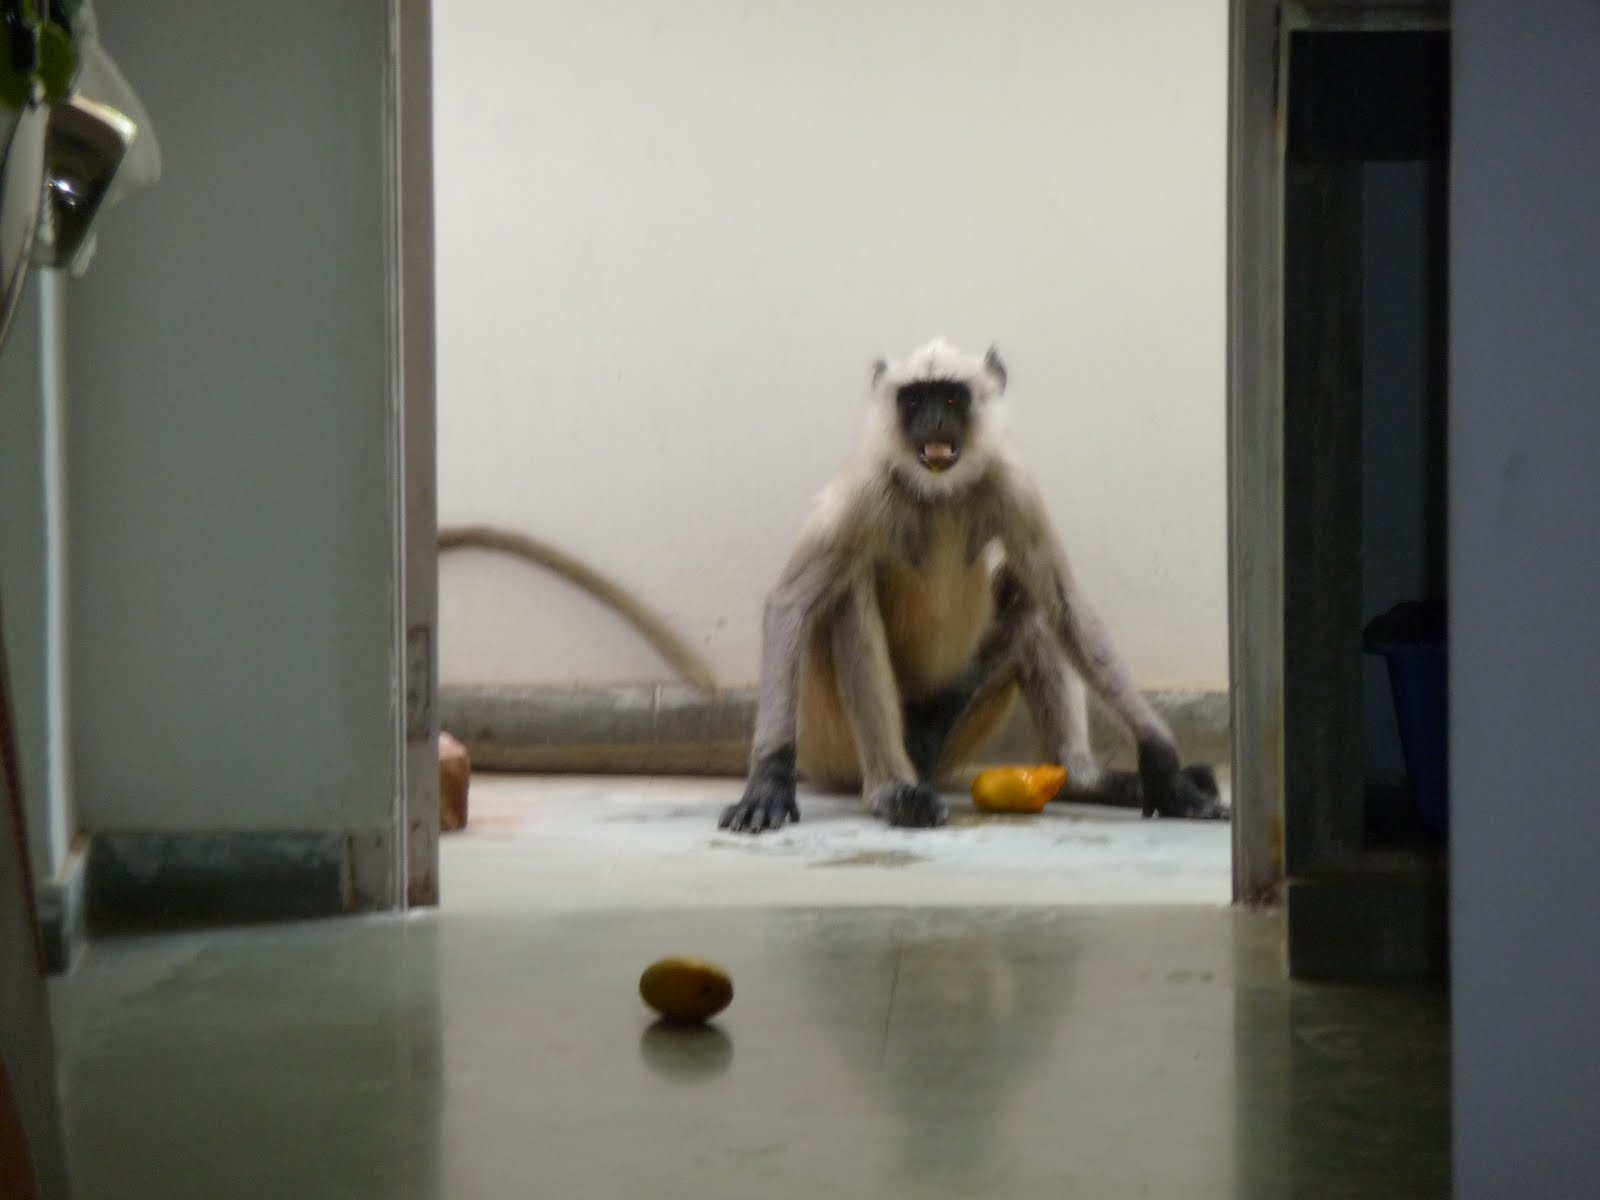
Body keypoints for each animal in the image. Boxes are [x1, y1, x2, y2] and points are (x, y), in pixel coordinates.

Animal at [718, 338, 1226, 834]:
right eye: (914, 399)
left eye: (950, 397)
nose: (933, 421)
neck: (939, 492)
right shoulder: (864, 489)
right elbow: (790, 603)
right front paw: (769, 780)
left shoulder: (1014, 486)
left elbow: (1067, 607)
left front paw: (1163, 770)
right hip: (833, 742)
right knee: (848, 590)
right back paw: (892, 791)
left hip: (959, 734)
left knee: (1032, 595)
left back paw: (1083, 778)